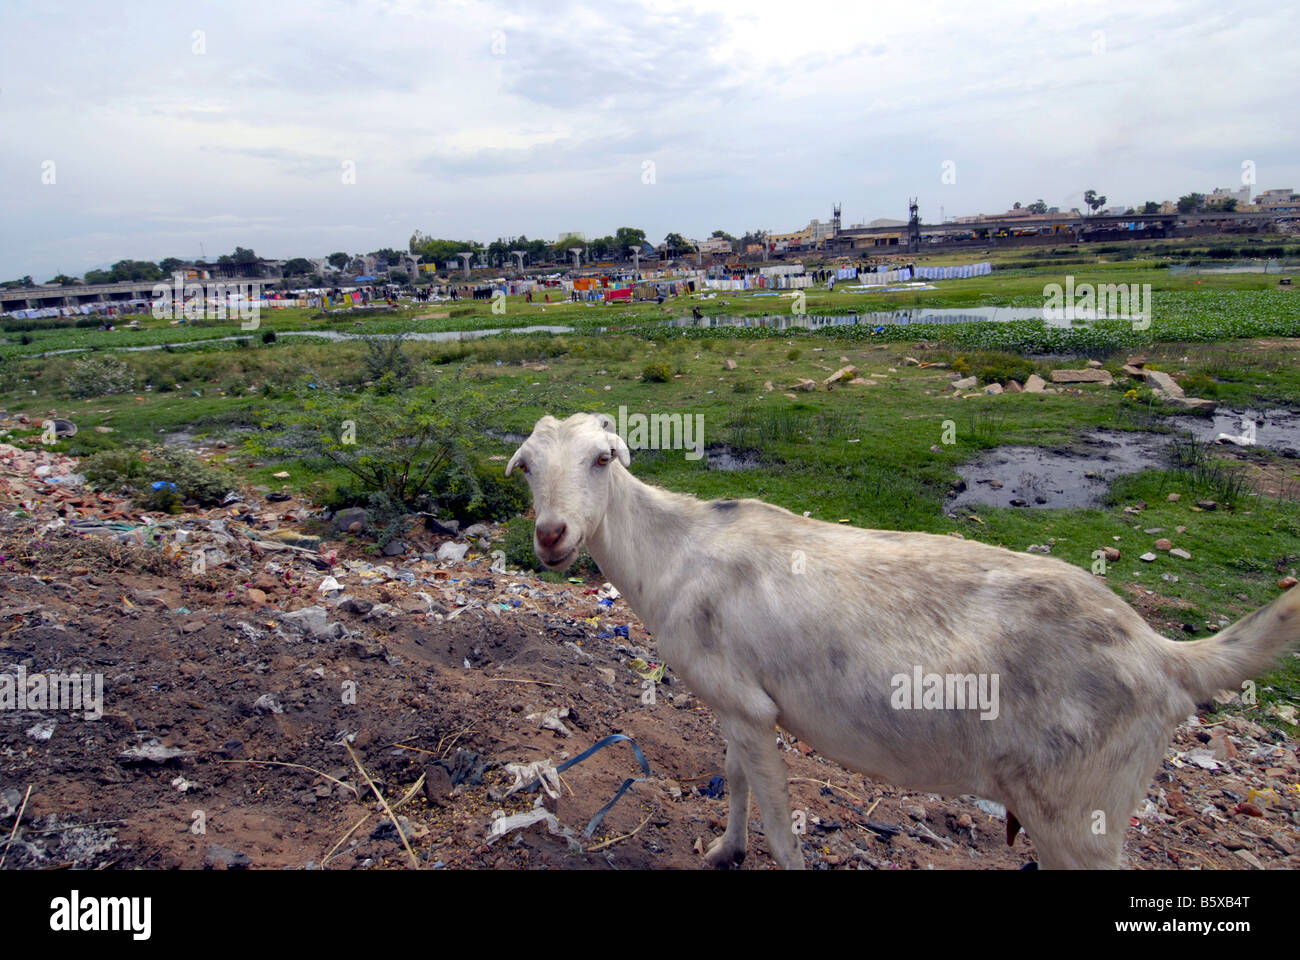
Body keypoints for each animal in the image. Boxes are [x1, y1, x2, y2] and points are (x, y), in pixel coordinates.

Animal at [506, 412, 1300, 869]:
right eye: (528, 467)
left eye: (602, 459)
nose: (552, 536)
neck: (675, 549)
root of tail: (1168, 658)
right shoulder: (737, 703)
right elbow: (734, 783)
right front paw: (723, 851)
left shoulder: (750, 709)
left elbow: (780, 826)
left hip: (1084, 815)